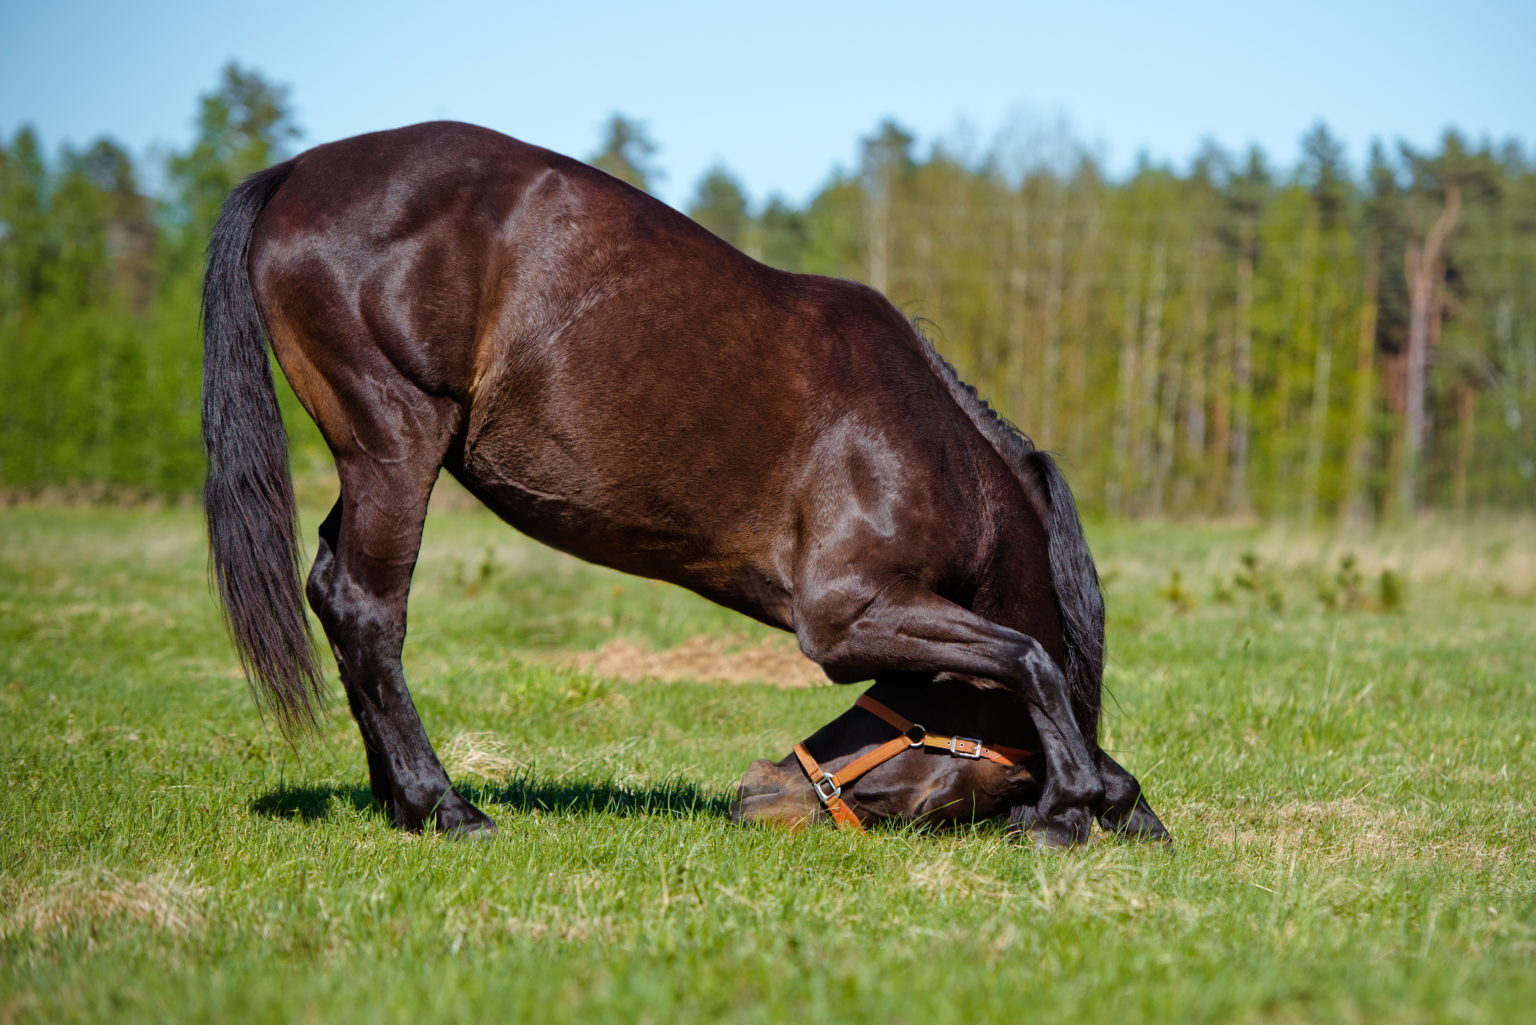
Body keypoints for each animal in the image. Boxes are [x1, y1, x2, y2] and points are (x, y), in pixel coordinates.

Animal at [202, 121, 1168, 847]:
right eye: (961, 774)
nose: (760, 792)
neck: (935, 448)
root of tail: (296, 173)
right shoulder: (849, 612)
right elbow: (1031, 658)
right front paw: (1076, 806)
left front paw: (1121, 802)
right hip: (396, 443)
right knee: (367, 609)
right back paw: (442, 804)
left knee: (333, 591)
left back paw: (396, 795)